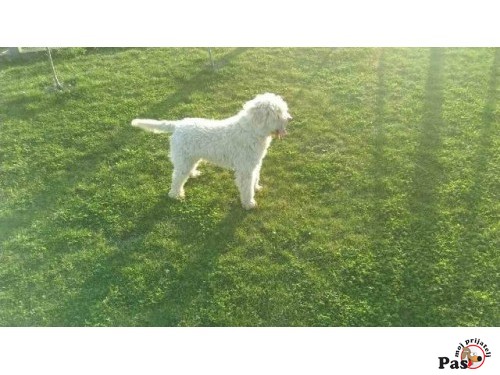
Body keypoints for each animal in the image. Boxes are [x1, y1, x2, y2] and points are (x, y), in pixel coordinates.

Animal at [131, 92, 292, 210]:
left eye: (283, 110)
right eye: (278, 113)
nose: (290, 119)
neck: (251, 130)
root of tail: (178, 125)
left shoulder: (255, 164)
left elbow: (255, 178)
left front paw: (257, 187)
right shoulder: (245, 169)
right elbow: (246, 187)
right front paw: (249, 203)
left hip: (191, 158)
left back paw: (193, 174)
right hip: (183, 160)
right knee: (176, 178)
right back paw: (176, 194)